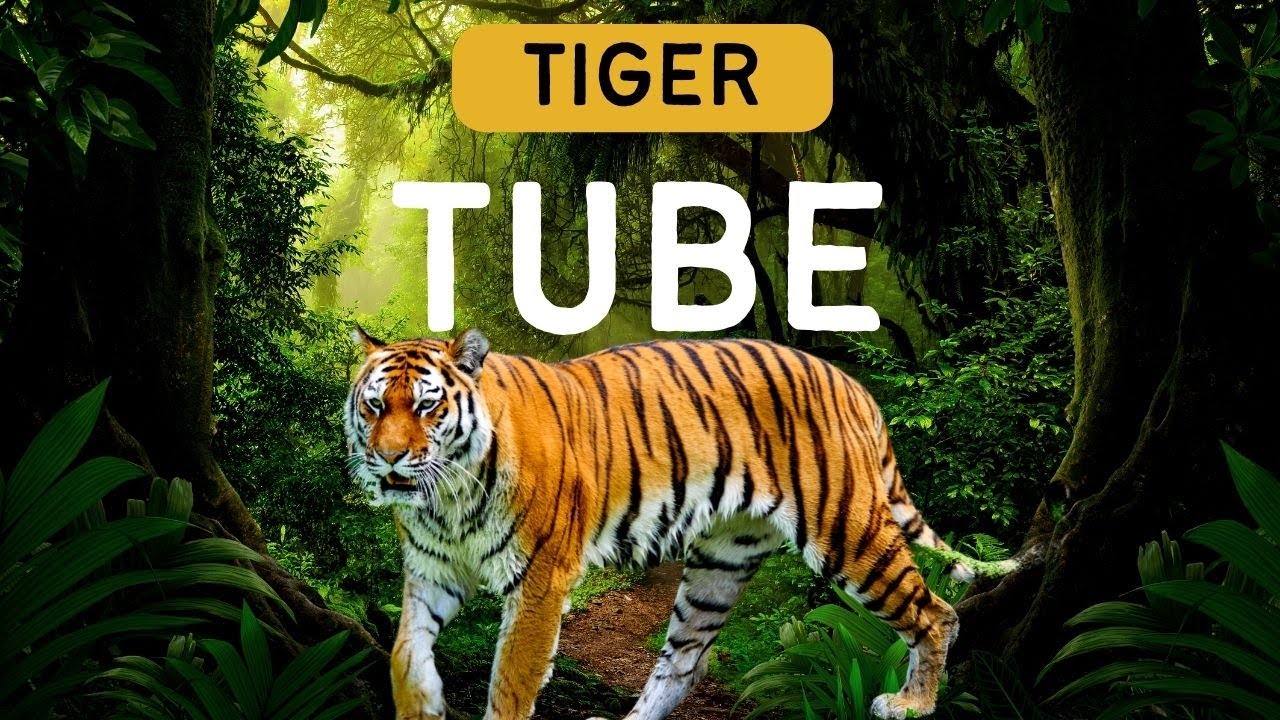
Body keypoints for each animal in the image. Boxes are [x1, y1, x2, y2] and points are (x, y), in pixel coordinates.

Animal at [345, 326, 979, 720]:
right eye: (375, 405)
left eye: (426, 406)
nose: (390, 458)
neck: (446, 499)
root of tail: (853, 384)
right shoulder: (431, 574)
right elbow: (404, 654)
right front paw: (423, 705)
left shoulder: (540, 582)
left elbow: (510, 681)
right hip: (721, 561)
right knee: (684, 663)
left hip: (847, 532)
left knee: (936, 613)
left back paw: (912, 704)